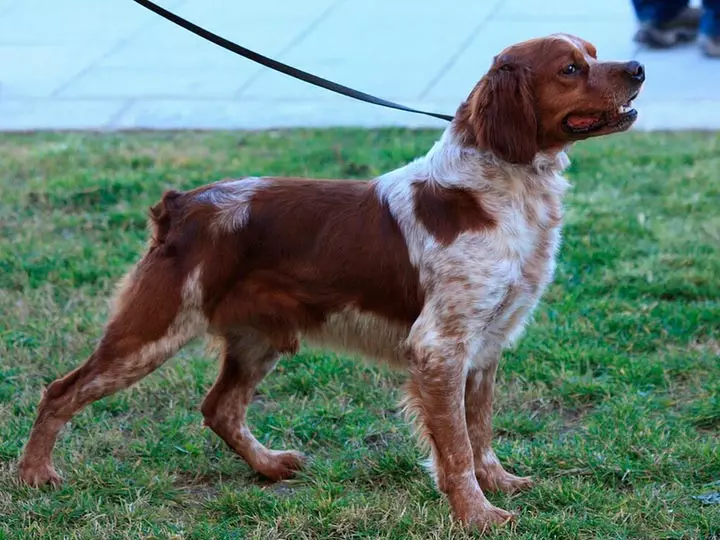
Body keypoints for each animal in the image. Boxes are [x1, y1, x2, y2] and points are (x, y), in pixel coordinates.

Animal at [18, 34, 648, 532]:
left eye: (594, 53)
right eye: (571, 68)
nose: (640, 68)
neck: (502, 192)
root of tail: (179, 206)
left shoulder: (486, 345)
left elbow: (480, 430)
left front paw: (500, 483)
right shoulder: (440, 347)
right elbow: (456, 449)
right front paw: (478, 515)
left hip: (257, 338)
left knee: (219, 407)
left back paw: (270, 466)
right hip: (151, 331)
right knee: (61, 390)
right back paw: (34, 475)